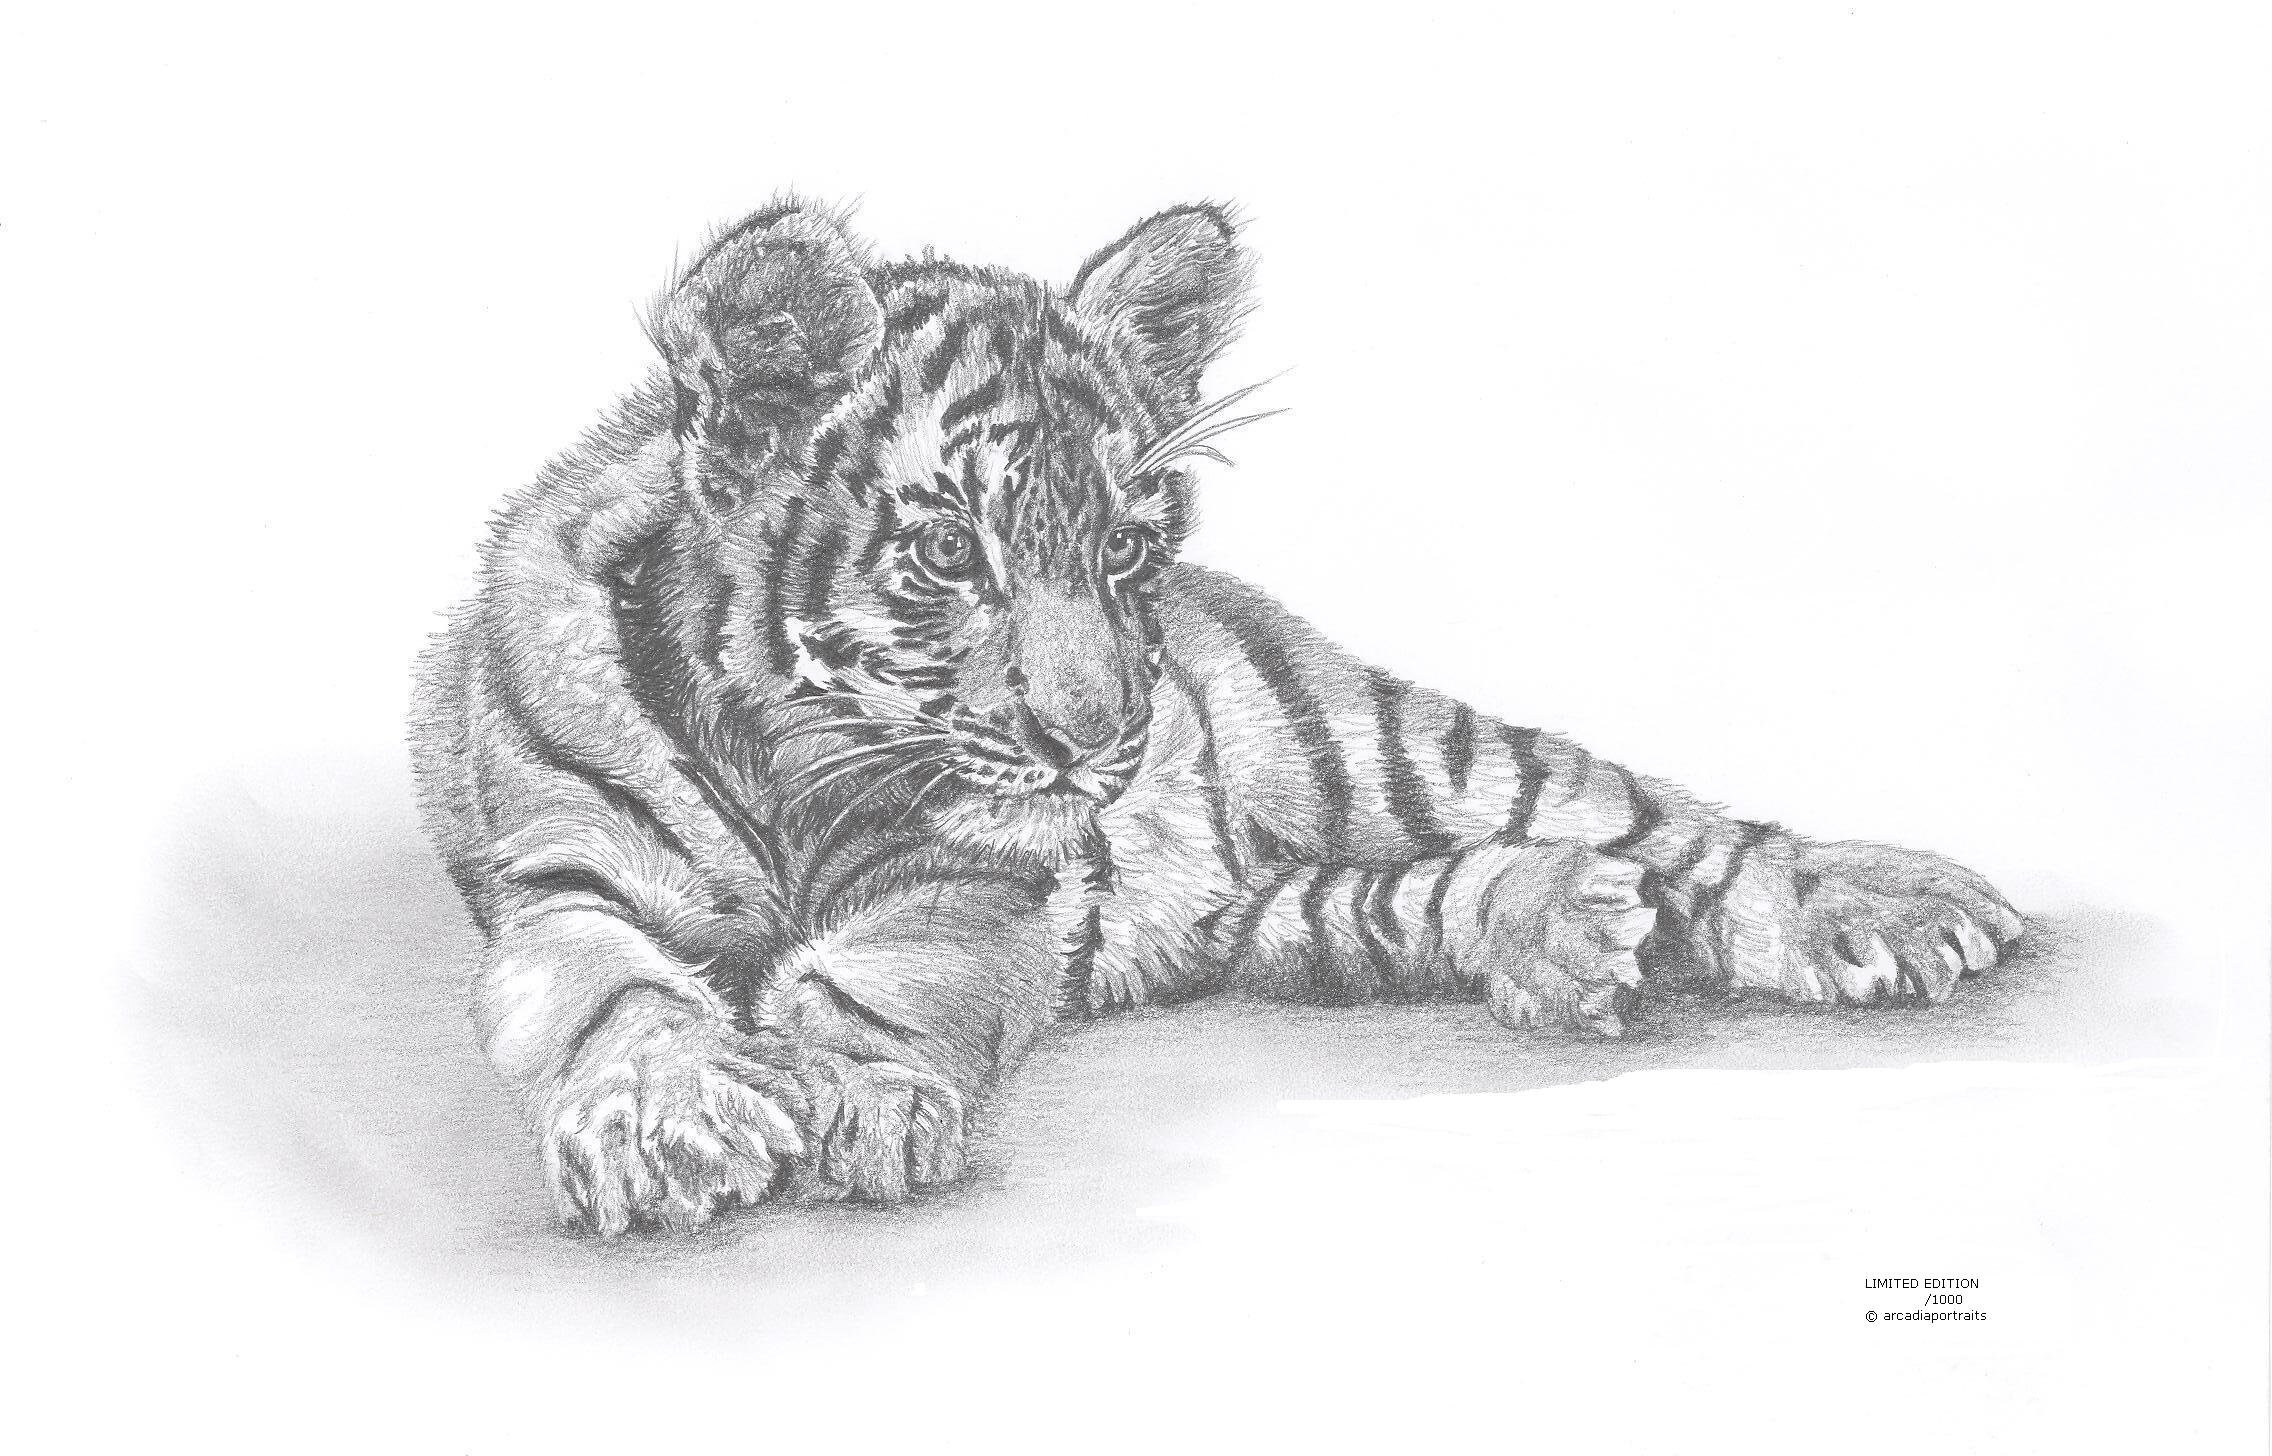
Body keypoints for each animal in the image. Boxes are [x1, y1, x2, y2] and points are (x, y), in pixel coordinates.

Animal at [411, 198, 2026, 1236]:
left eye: (1128, 545)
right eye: (948, 555)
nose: (1105, 744)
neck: (785, 758)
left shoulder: (977, 877)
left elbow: (878, 975)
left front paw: (840, 1093)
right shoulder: (560, 879)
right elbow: (607, 994)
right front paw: (666, 1120)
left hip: (1375, 737)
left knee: (1669, 823)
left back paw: (1877, 908)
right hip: (1269, 915)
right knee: (1404, 900)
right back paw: (1562, 926)